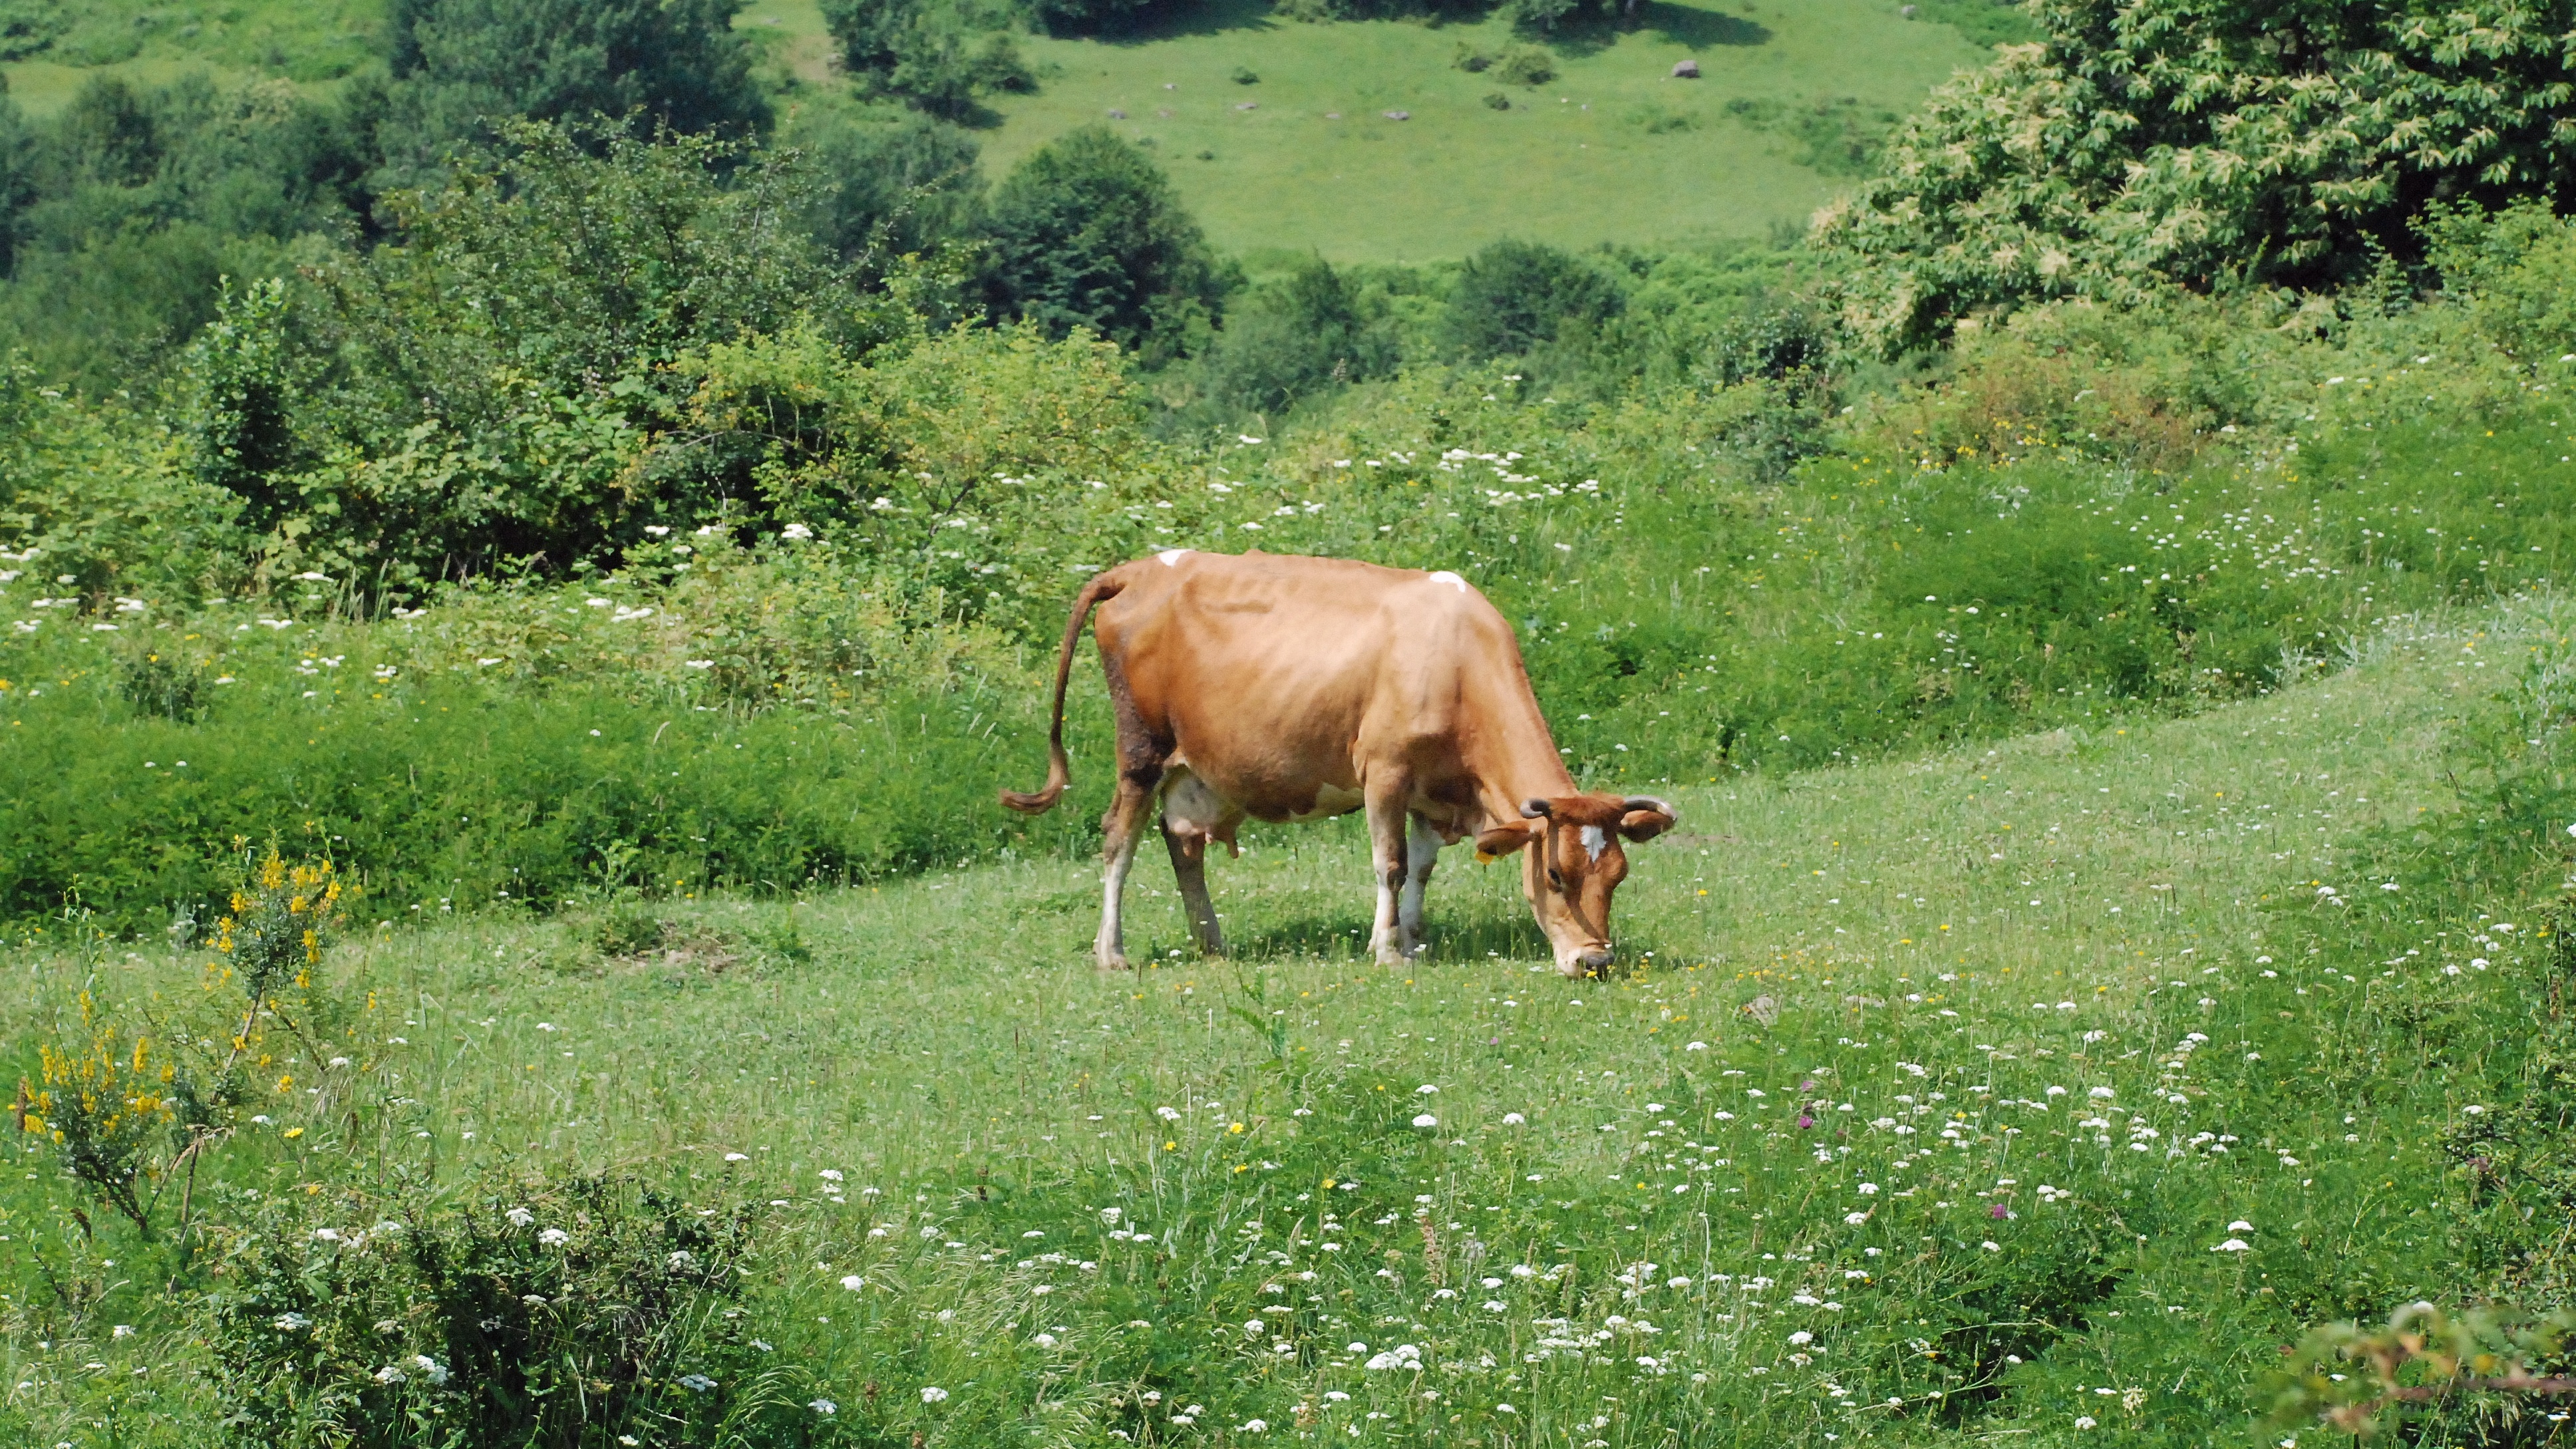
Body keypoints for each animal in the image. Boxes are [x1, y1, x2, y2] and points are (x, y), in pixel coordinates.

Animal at [1000, 550, 1677, 974]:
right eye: (1556, 876)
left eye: (1618, 876)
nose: (1596, 960)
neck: (1456, 657)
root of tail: (1137, 569)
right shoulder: (1385, 773)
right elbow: (1392, 864)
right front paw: (1387, 950)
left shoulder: (1435, 790)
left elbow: (1423, 868)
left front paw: (1413, 938)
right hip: (1142, 749)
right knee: (1120, 839)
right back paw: (1111, 952)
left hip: (1196, 768)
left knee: (1181, 842)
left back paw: (1211, 941)